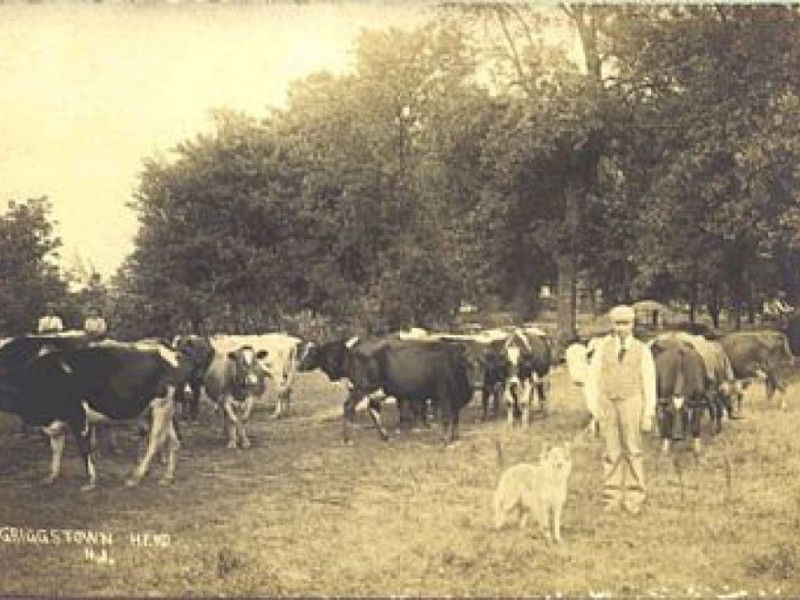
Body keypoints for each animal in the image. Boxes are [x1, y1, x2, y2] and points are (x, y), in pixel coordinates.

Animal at [0, 342, 192, 489]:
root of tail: (172, 351)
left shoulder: (78, 417)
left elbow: (84, 448)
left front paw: (90, 481)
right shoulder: (57, 421)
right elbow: (56, 448)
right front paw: (52, 476)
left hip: (161, 405)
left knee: (155, 441)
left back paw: (135, 477)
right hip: (167, 409)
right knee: (175, 440)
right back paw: (167, 477)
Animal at [299, 336, 478, 445]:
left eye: (480, 363)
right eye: (467, 363)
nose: (477, 382)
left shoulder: (456, 398)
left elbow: (455, 418)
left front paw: (455, 438)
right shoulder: (444, 395)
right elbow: (447, 418)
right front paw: (446, 440)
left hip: (372, 390)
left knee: (373, 410)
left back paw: (385, 436)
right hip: (361, 387)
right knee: (349, 406)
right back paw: (347, 439)